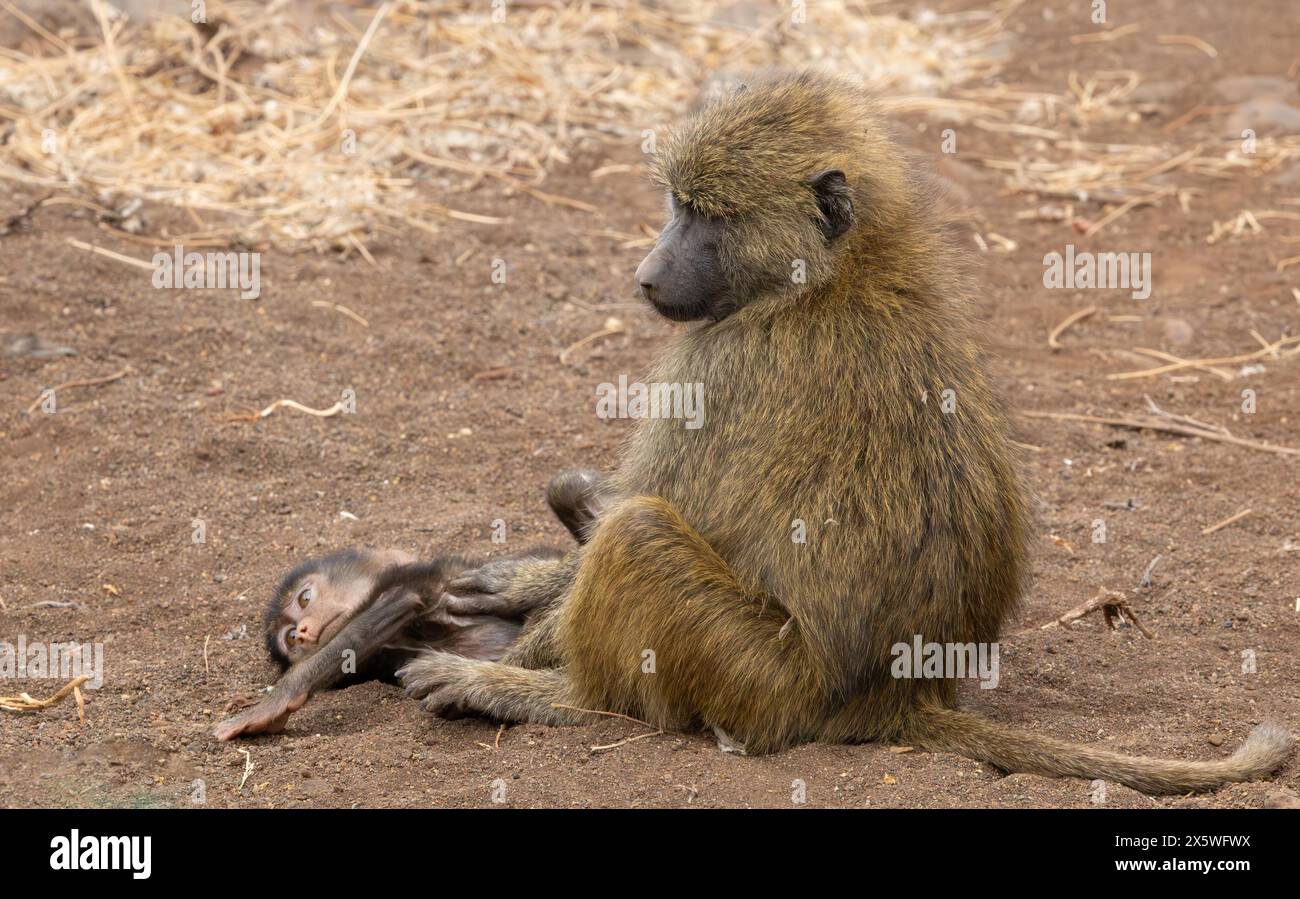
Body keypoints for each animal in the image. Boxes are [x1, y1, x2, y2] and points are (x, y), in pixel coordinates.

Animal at [212, 469, 607, 741]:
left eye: (305, 598)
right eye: (290, 637)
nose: (305, 632)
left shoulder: (409, 583)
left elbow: (375, 619)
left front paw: (271, 704)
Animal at [398, 73, 1293, 794]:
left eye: (709, 215)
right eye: (677, 205)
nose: (646, 278)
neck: (834, 275)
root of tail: (895, 694)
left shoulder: (720, 364)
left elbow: (657, 506)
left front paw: (516, 654)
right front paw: (521, 581)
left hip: (759, 676)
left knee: (639, 534)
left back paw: (548, 696)